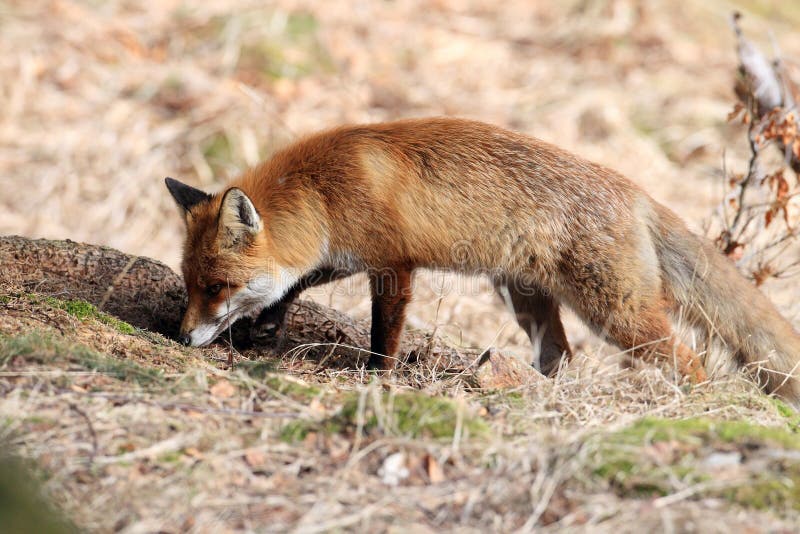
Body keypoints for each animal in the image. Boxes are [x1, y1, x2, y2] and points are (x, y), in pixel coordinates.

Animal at [166, 117, 800, 407]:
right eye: (192, 284)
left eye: (216, 286)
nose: (181, 336)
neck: (324, 193)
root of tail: (637, 193)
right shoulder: (342, 253)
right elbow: (293, 285)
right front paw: (265, 323)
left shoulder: (393, 264)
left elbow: (384, 333)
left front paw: (377, 378)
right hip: (527, 300)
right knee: (560, 355)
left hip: (618, 316)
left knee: (686, 359)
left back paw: (697, 406)